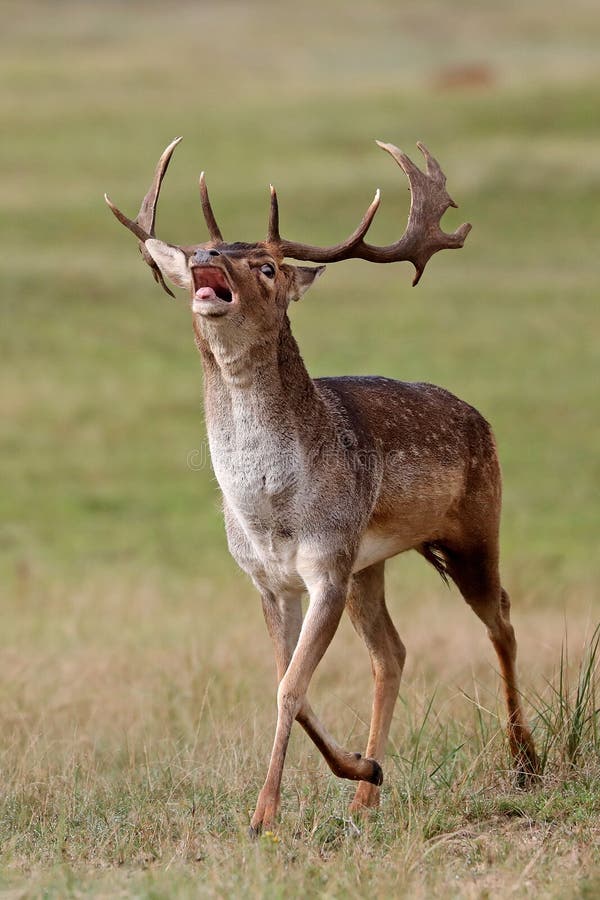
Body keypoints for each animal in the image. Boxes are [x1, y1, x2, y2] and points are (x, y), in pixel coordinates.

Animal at [105, 136, 539, 834]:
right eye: (206, 250)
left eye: (267, 267)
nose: (203, 257)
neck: (269, 511)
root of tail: (481, 418)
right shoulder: (271, 578)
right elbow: (288, 683)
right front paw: (363, 768)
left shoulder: (326, 563)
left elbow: (290, 687)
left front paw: (263, 815)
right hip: (370, 563)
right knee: (392, 652)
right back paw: (367, 795)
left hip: (477, 522)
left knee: (500, 616)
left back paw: (525, 760)